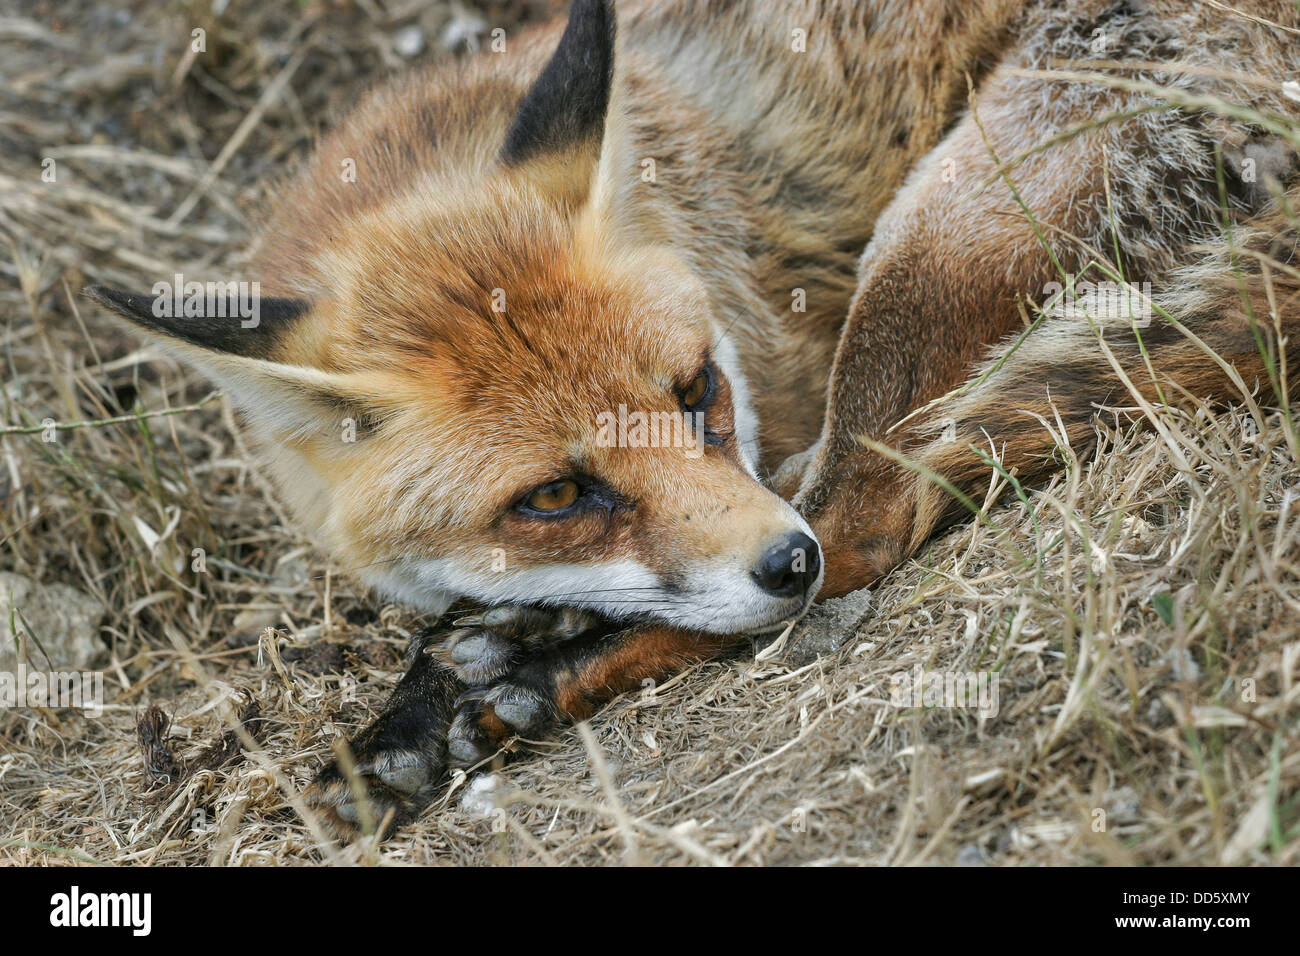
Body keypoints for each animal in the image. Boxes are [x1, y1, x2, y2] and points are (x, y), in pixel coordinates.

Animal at [86, 0, 1300, 838]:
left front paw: (477, 682)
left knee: (864, 515)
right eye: (554, 494)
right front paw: (441, 683)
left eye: (694, 391)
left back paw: (533, 679)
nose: (783, 566)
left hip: (943, 229)